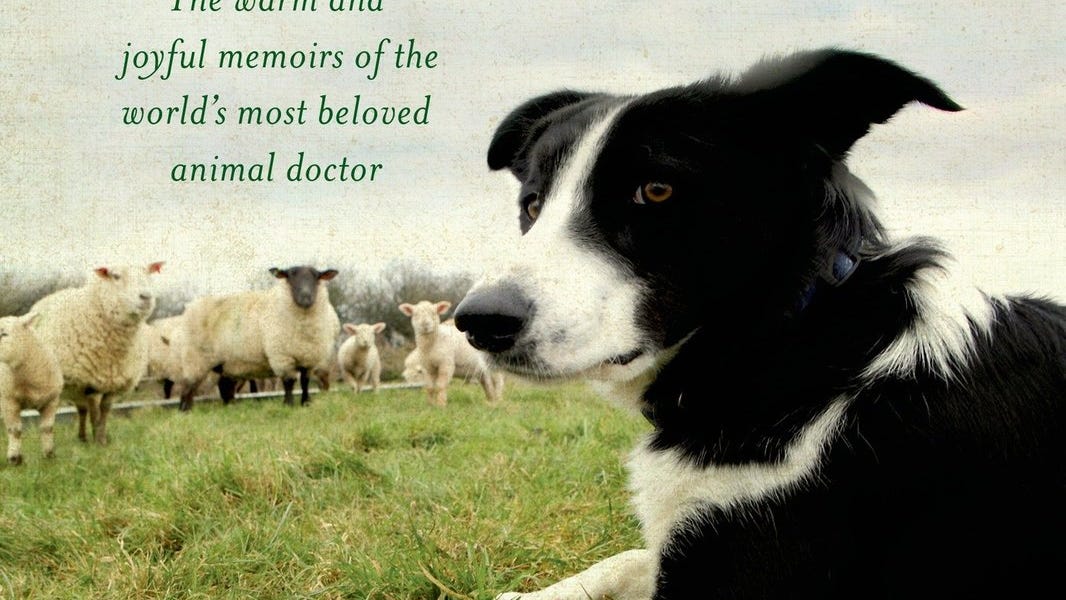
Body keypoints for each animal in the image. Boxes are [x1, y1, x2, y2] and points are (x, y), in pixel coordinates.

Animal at [0, 313, 64, 465]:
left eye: (4, 334)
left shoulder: (52, 400)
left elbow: (47, 428)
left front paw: (49, 454)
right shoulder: (8, 401)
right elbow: (15, 430)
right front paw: (14, 458)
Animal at [29, 262, 163, 445]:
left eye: (148, 273)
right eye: (116, 276)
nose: (146, 296)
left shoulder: (113, 383)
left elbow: (104, 411)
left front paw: (102, 437)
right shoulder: (90, 383)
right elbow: (94, 412)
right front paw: (97, 442)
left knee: (81, 409)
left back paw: (83, 437)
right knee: (80, 409)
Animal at [179, 265, 340, 410]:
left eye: (316, 276)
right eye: (290, 276)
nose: (305, 296)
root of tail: (190, 307)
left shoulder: (309, 359)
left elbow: (305, 382)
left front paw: (306, 403)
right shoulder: (282, 357)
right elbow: (289, 382)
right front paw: (288, 404)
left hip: (225, 363)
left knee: (223, 387)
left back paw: (229, 407)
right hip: (196, 358)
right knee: (188, 386)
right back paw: (184, 410)